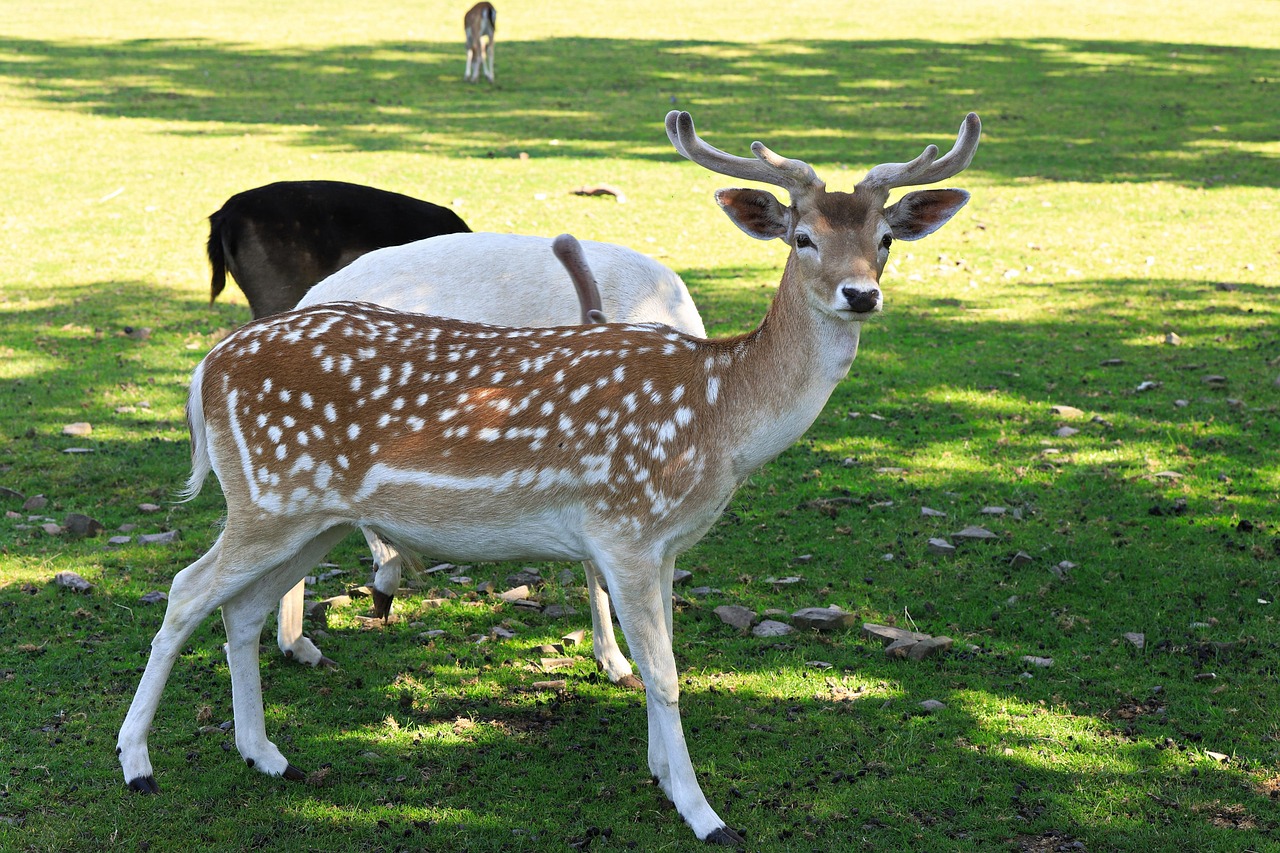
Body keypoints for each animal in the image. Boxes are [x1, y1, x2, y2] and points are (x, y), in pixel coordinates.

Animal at [117, 109, 980, 845]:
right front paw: (704, 812)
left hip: (309, 516)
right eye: (801, 237)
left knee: (241, 609)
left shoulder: (665, 544)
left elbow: (666, 658)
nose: (860, 294)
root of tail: (204, 370)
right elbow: (667, 673)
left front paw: (660, 771)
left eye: (886, 238)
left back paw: (266, 754)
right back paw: (138, 764)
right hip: (267, 499)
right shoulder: (625, 527)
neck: (721, 416)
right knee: (185, 591)